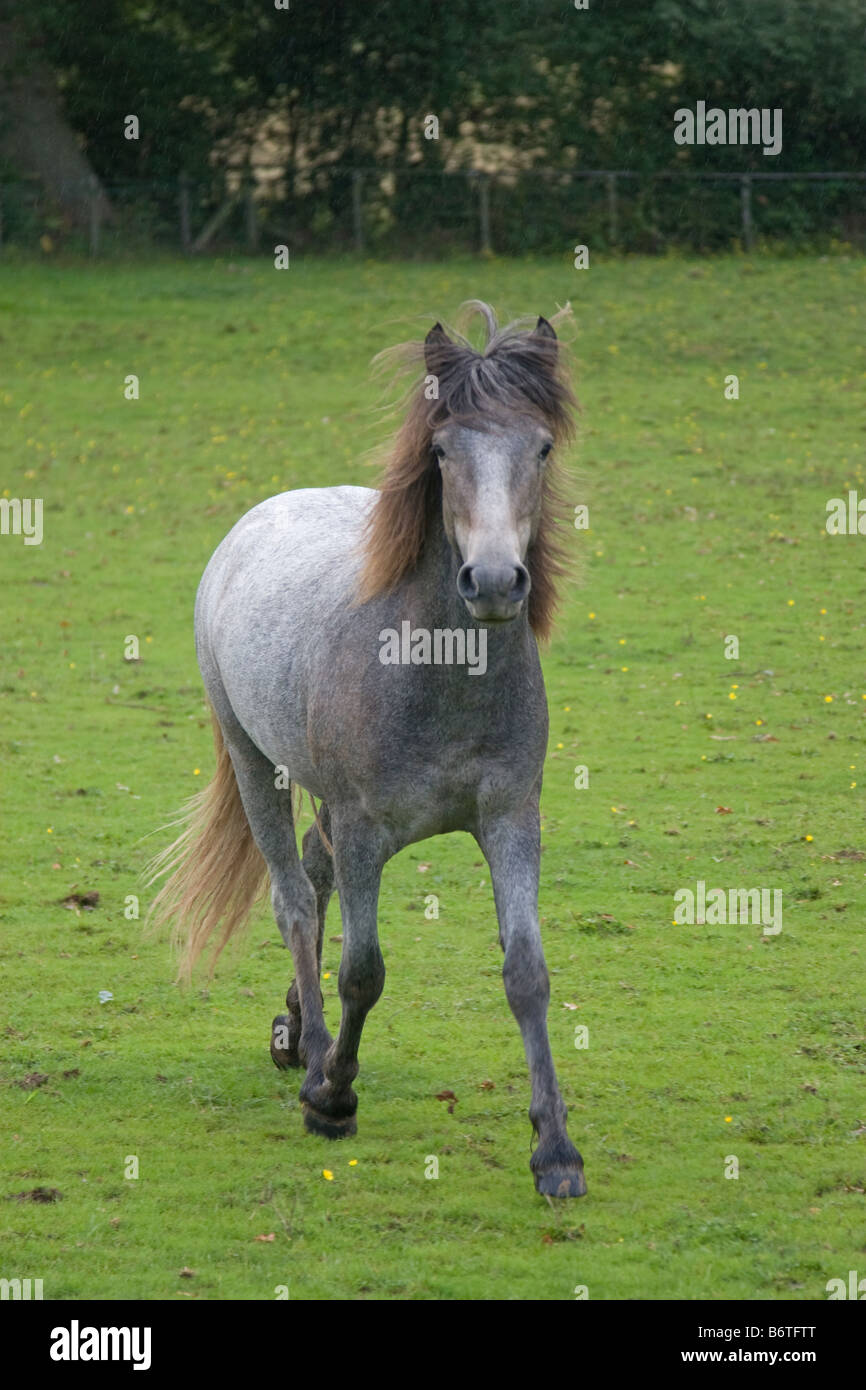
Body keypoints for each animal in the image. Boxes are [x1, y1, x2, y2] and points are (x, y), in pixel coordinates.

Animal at [148, 301, 586, 1198]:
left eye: (542, 447)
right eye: (444, 451)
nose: (496, 582)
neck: (439, 674)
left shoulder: (511, 818)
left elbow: (527, 972)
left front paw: (555, 1149)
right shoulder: (363, 832)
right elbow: (363, 972)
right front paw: (334, 1098)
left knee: (311, 883)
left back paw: (292, 1031)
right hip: (258, 766)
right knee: (293, 898)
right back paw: (314, 1054)